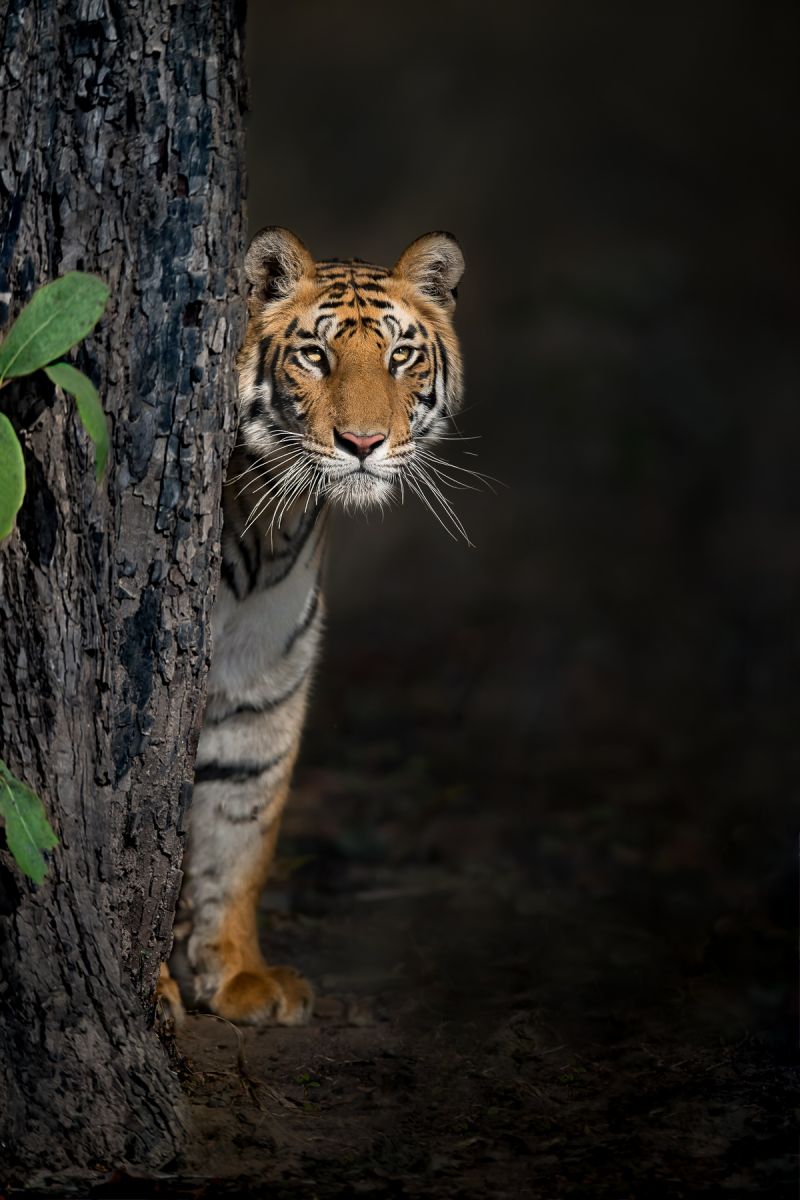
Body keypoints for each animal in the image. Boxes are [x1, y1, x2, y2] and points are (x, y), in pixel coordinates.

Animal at [166, 227, 465, 1025]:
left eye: (400, 356)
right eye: (314, 356)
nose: (362, 442)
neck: (265, 530)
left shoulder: (263, 694)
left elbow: (239, 840)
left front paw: (238, 974)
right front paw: (158, 991)